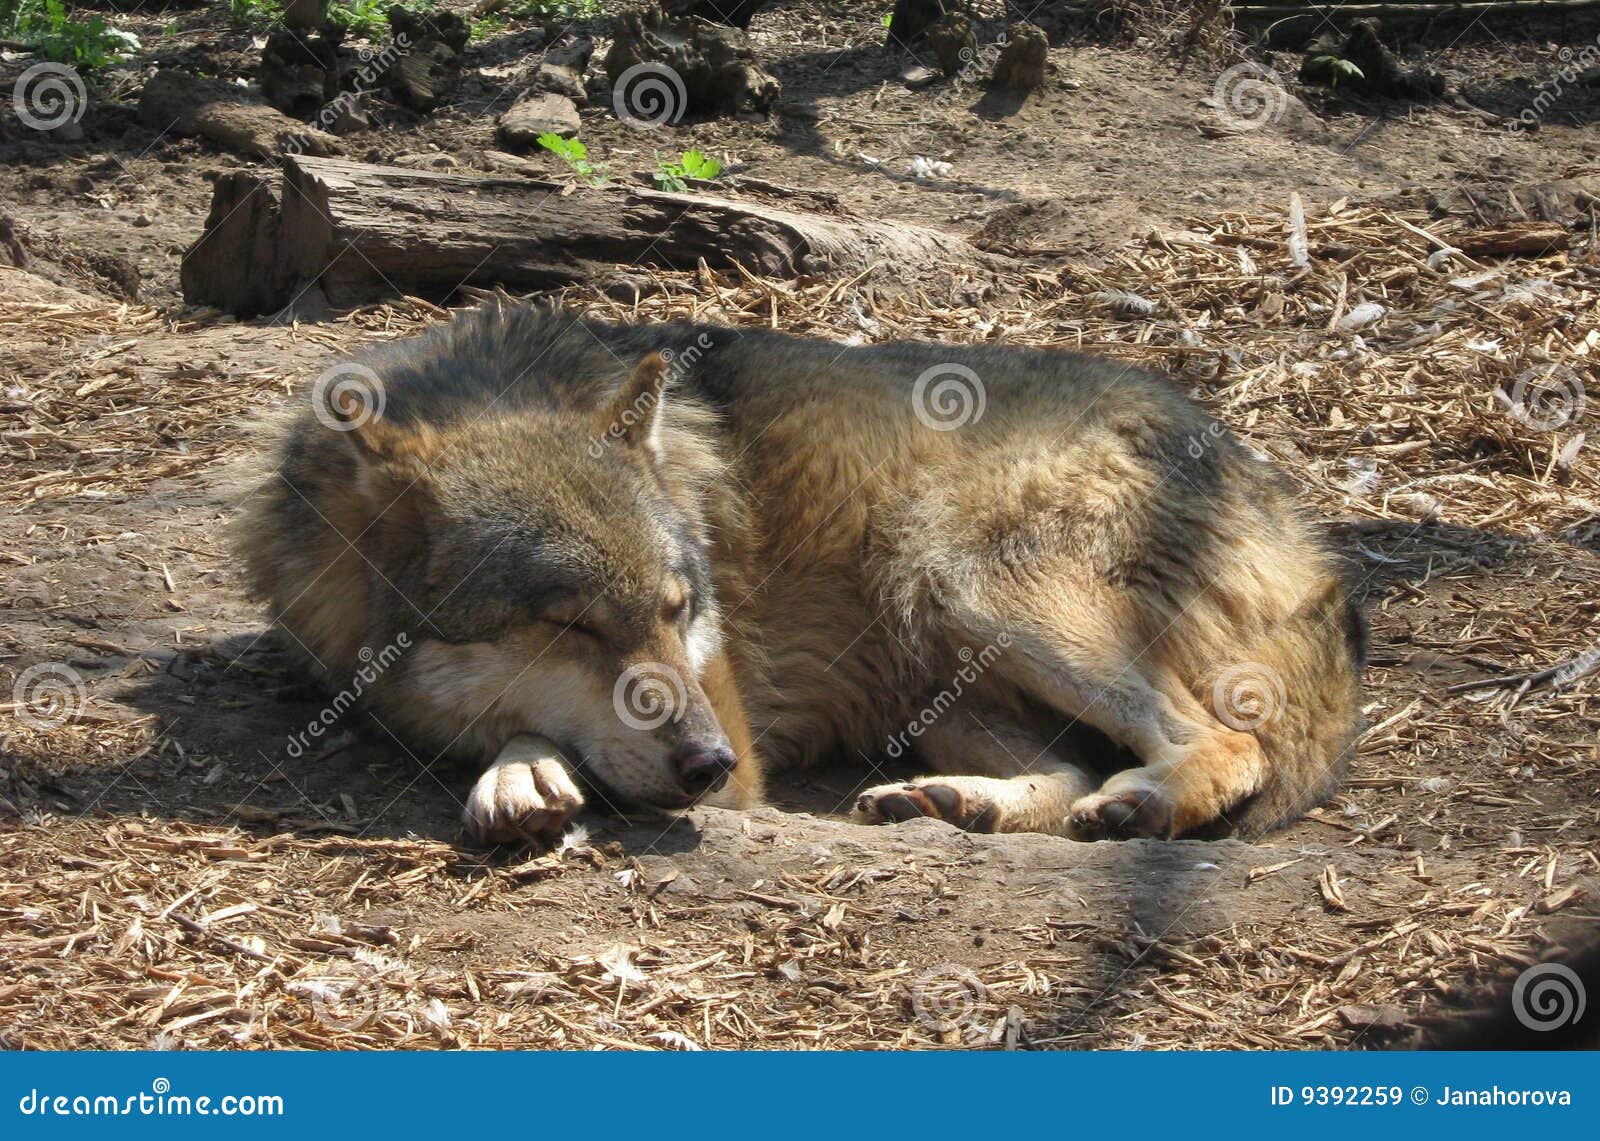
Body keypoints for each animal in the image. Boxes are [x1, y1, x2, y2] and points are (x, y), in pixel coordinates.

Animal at [237, 301, 1365, 845]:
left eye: (677, 608)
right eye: (569, 626)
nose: (709, 764)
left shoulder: (721, 704)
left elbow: (527, 731)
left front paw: (518, 767)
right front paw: (520, 766)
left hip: (961, 577)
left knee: (1225, 744)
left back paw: (1141, 806)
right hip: (936, 673)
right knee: (1076, 768)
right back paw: (955, 804)